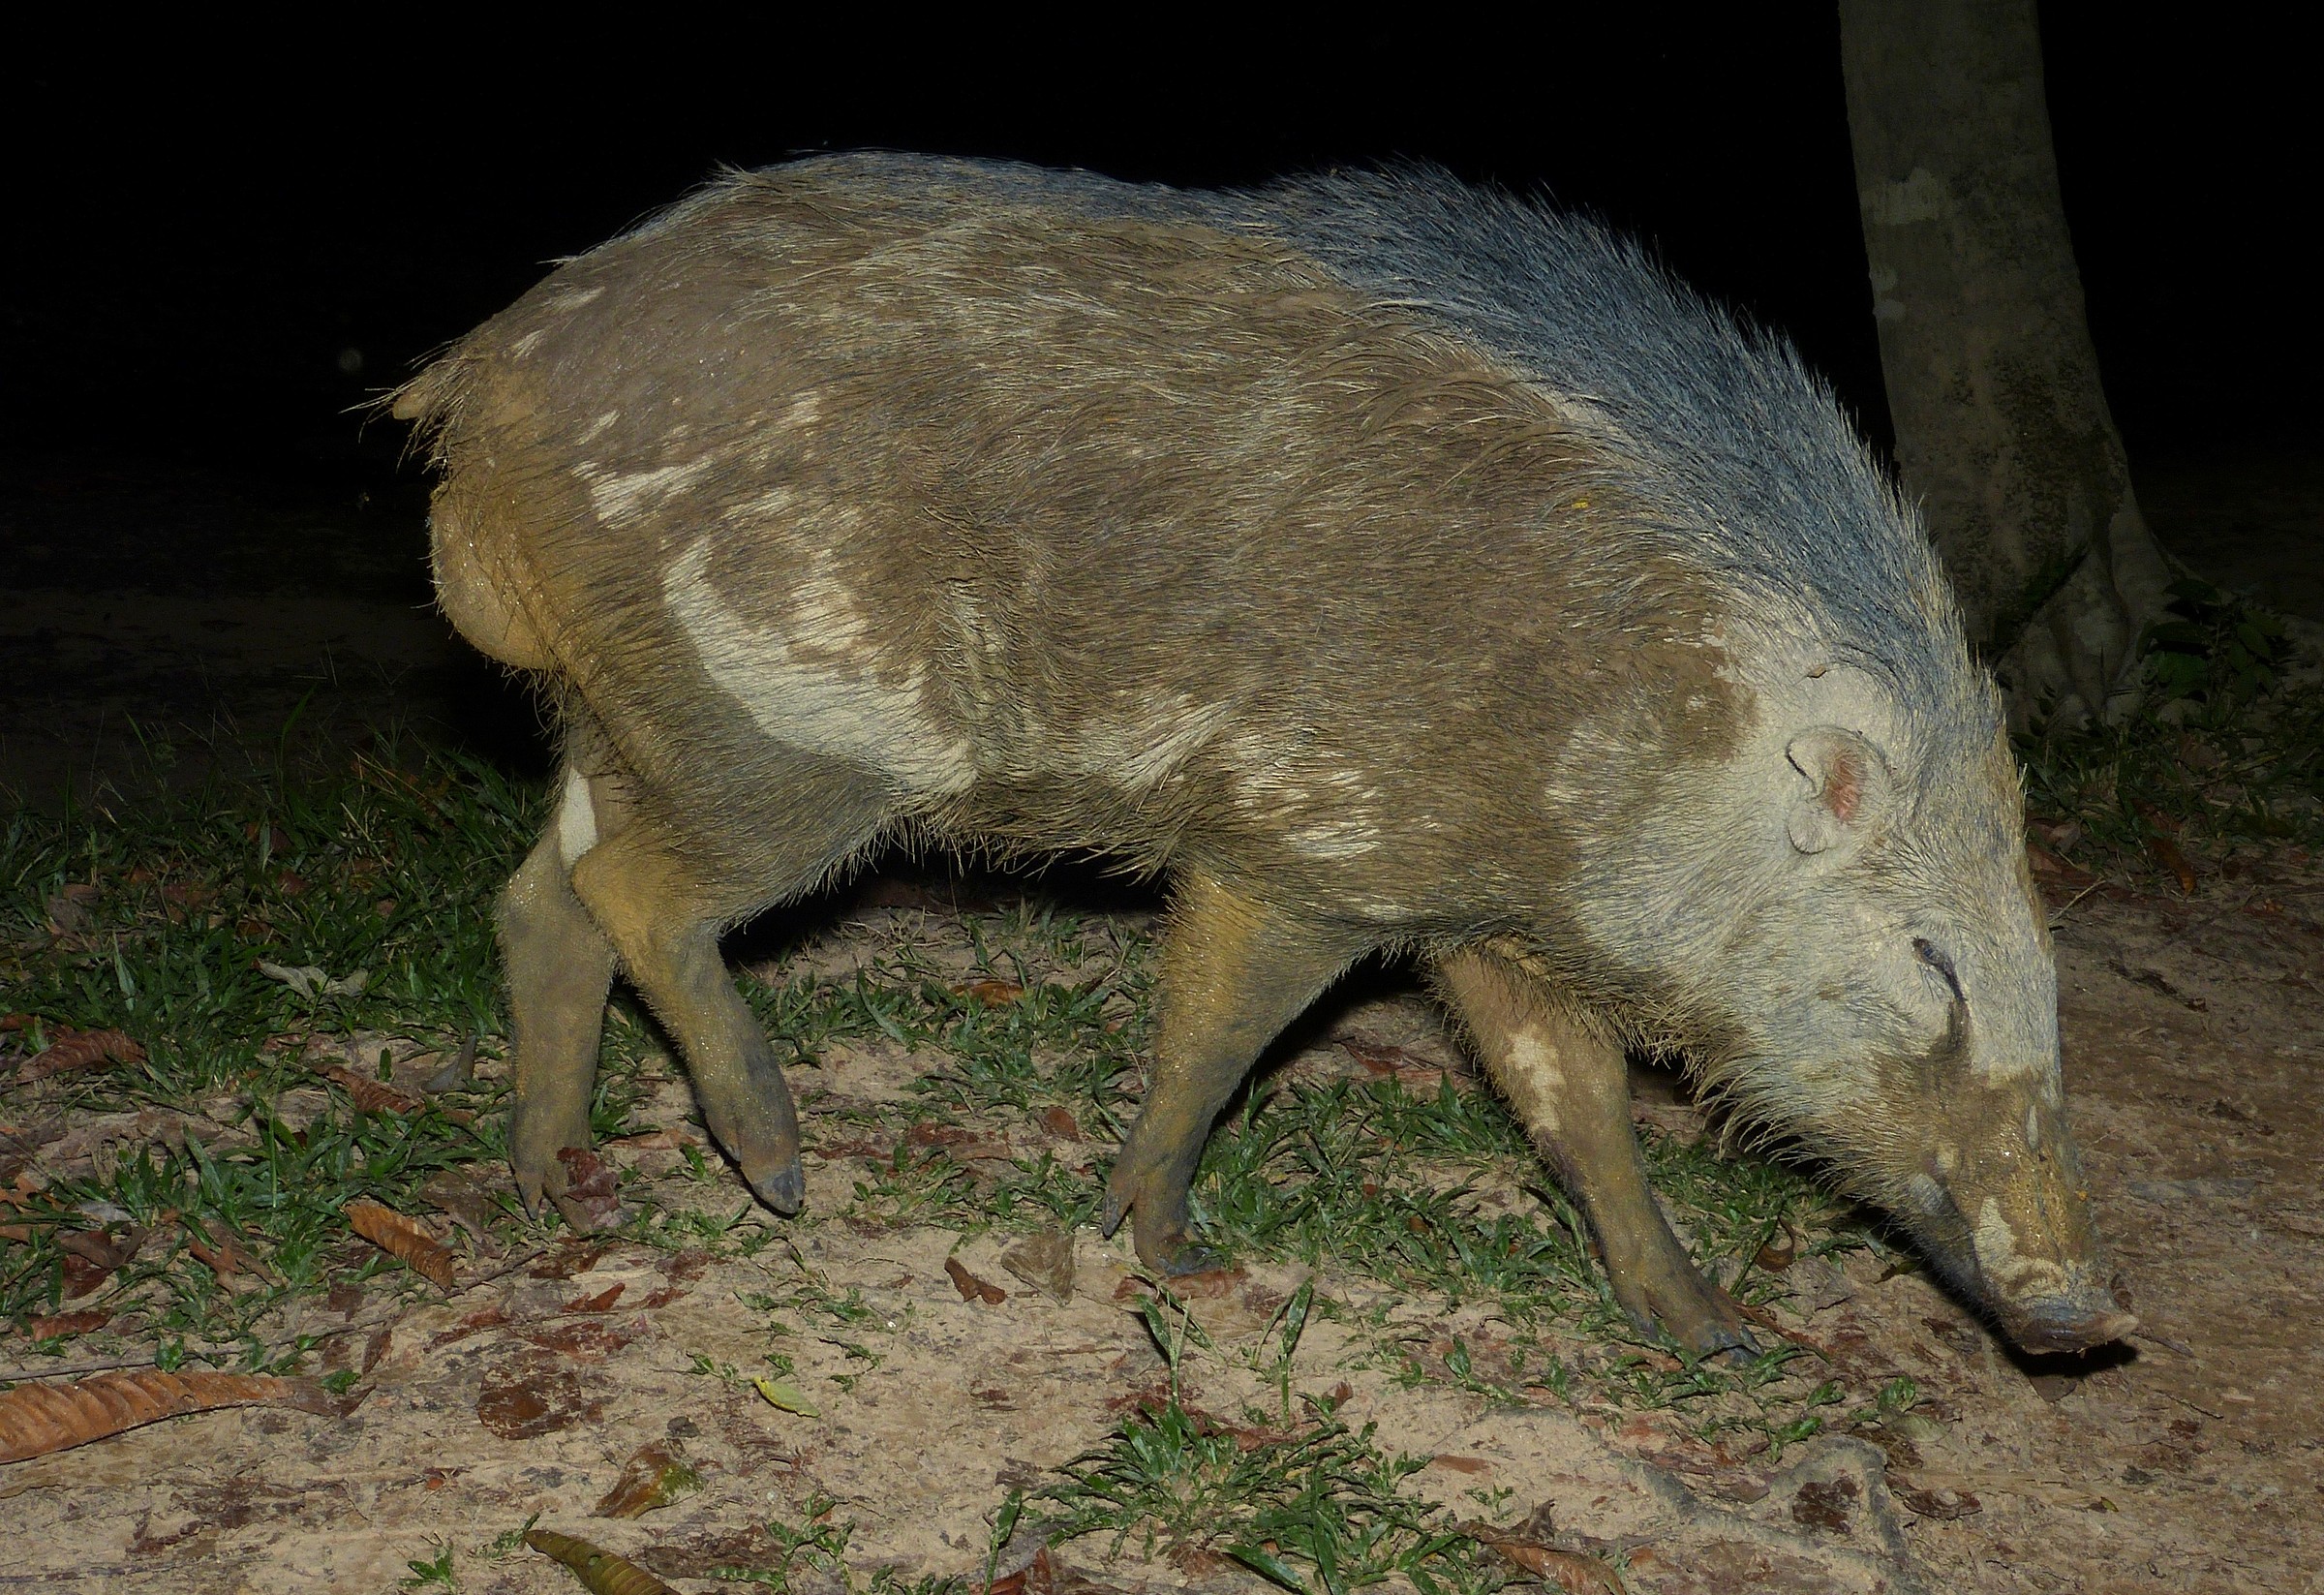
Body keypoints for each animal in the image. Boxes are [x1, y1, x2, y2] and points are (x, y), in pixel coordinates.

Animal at [393, 152, 2134, 1358]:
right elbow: (1222, 1035)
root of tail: (471, 388)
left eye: (2046, 963)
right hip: (781, 743)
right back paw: (777, 1169)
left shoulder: (1487, 914)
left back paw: (558, 1179)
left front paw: (1712, 1338)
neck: (1659, 732)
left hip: (614, 720)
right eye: (1933, 960)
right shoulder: (1311, 841)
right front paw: (1173, 1255)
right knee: (637, 897)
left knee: (537, 900)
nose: (2087, 1311)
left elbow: (1576, 1108)